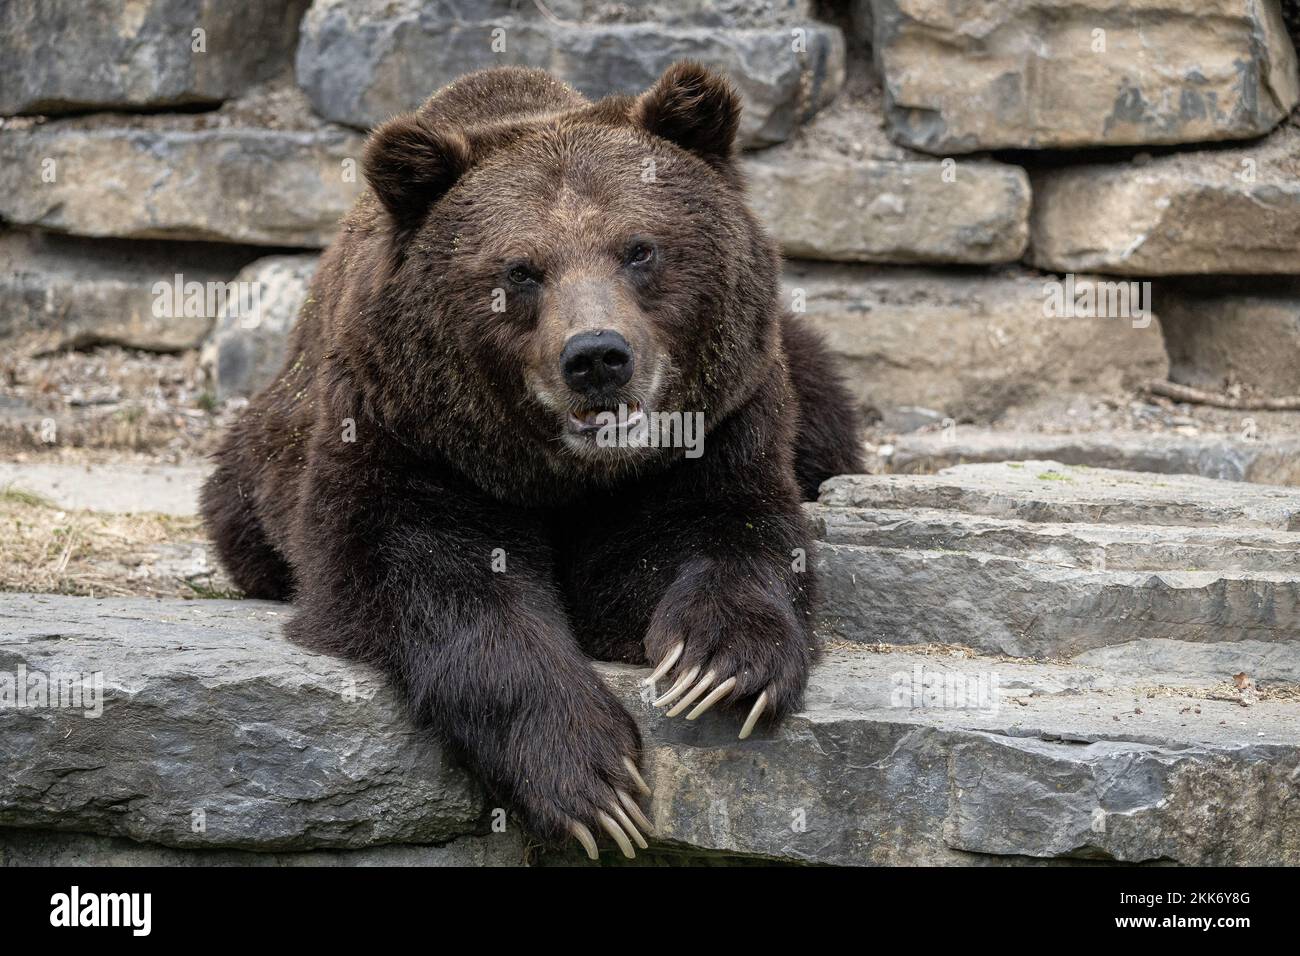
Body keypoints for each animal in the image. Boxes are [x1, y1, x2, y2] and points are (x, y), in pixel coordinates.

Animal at [201, 62, 863, 860]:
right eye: (521, 271)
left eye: (639, 248)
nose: (598, 356)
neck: (567, 473)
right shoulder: (405, 436)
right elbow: (430, 577)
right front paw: (592, 781)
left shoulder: (717, 428)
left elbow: (728, 530)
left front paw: (717, 668)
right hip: (254, 473)